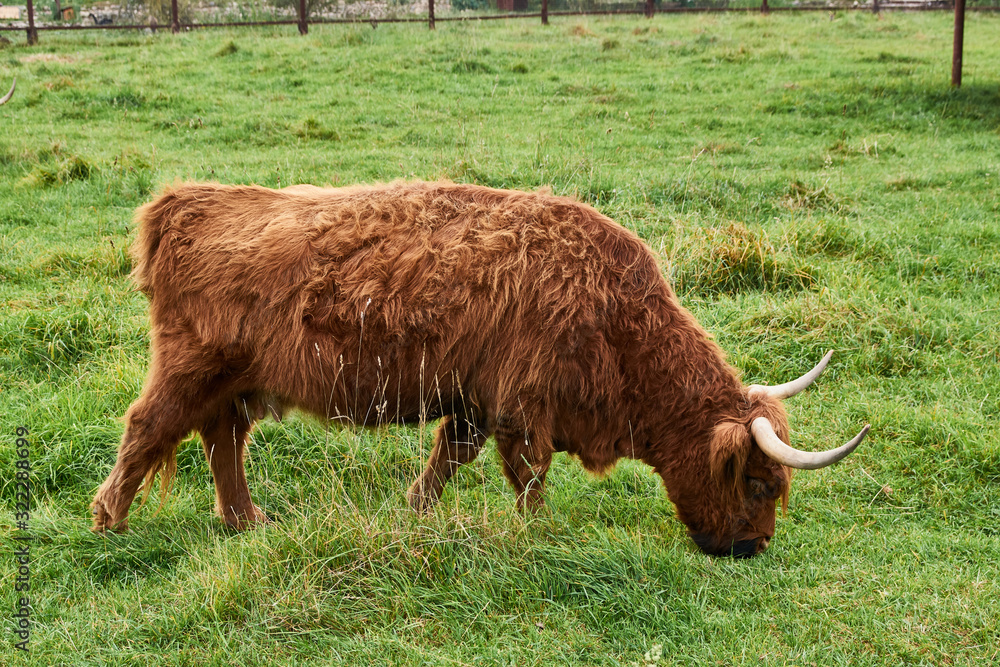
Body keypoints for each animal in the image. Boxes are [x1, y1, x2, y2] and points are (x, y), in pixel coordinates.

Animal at [91, 180, 868, 557]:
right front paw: (536, 534)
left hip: (233, 381)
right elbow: (528, 475)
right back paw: (110, 523)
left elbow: (447, 460)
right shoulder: (523, 405)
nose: (753, 548)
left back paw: (245, 522)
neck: (617, 321)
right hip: (190, 367)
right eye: (759, 482)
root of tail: (185, 201)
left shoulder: (473, 398)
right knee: (149, 428)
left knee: (221, 438)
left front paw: (415, 512)